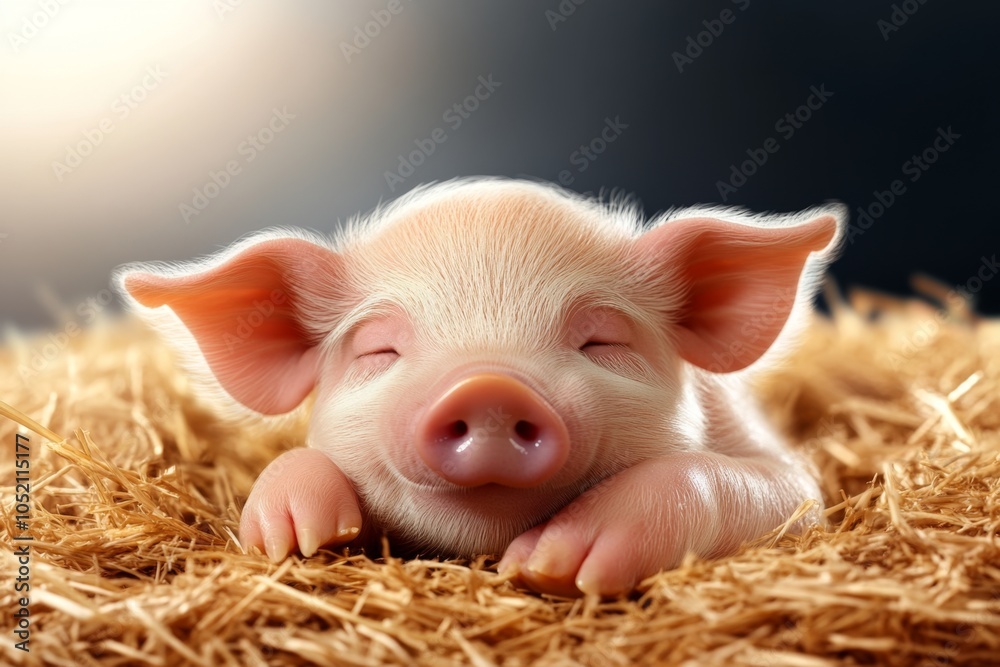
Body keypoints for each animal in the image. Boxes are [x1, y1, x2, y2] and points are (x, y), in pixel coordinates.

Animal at [116, 178, 843, 596]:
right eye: (379, 349)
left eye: (601, 341)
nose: (488, 387)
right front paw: (300, 537)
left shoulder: (789, 480)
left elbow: (743, 482)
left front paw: (554, 565)